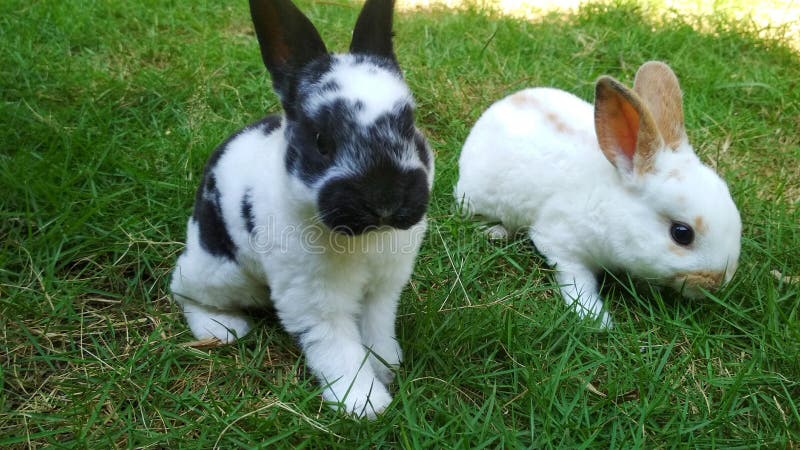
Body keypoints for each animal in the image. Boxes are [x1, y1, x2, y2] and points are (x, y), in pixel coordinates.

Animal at [170, 0, 434, 418]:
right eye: (322, 141)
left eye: (408, 126)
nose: (385, 201)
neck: (366, 239)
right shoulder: (314, 300)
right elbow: (337, 348)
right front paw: (364, 403)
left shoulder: (383, 289)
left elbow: (376, 328)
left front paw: (386, 366)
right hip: (220, 272)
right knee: (182, 289)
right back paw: (222, 329)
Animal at [455, 61, 741, 328]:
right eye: (681, 233)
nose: (719, 281)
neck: (611, 206)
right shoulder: (562, 244)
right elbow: (577, 282)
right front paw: (597, 320)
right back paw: (496, 233)